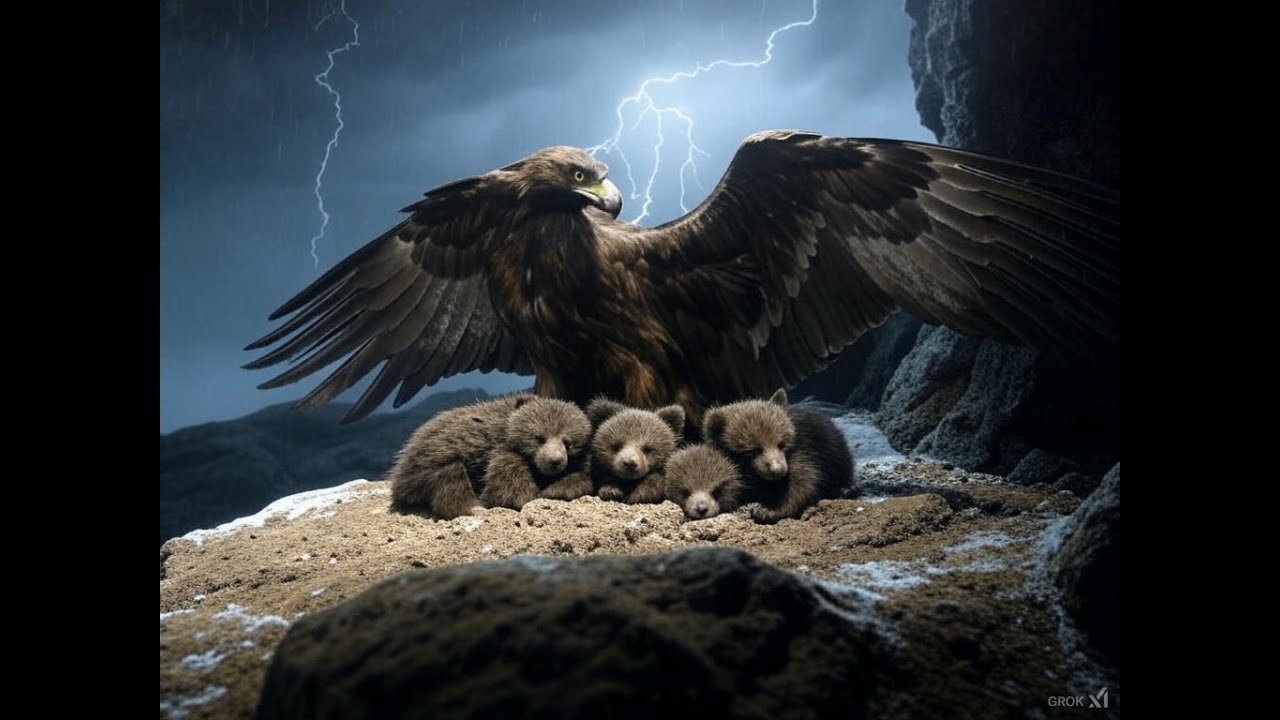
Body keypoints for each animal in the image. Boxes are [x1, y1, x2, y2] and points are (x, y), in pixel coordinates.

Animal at [388, 394, 591, 518]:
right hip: (433, 460)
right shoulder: (500, 455)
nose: (554, 461)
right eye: (539, 437)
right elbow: (509, 490)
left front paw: (558, 489)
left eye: (567, 442)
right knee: (451, 482)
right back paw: (472, 505)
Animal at [702, 388, 853, 523]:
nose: (777, 470)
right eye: (753, 450)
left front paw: (767, 511)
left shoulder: (805, 449)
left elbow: (804, 483)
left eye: (781, 444)